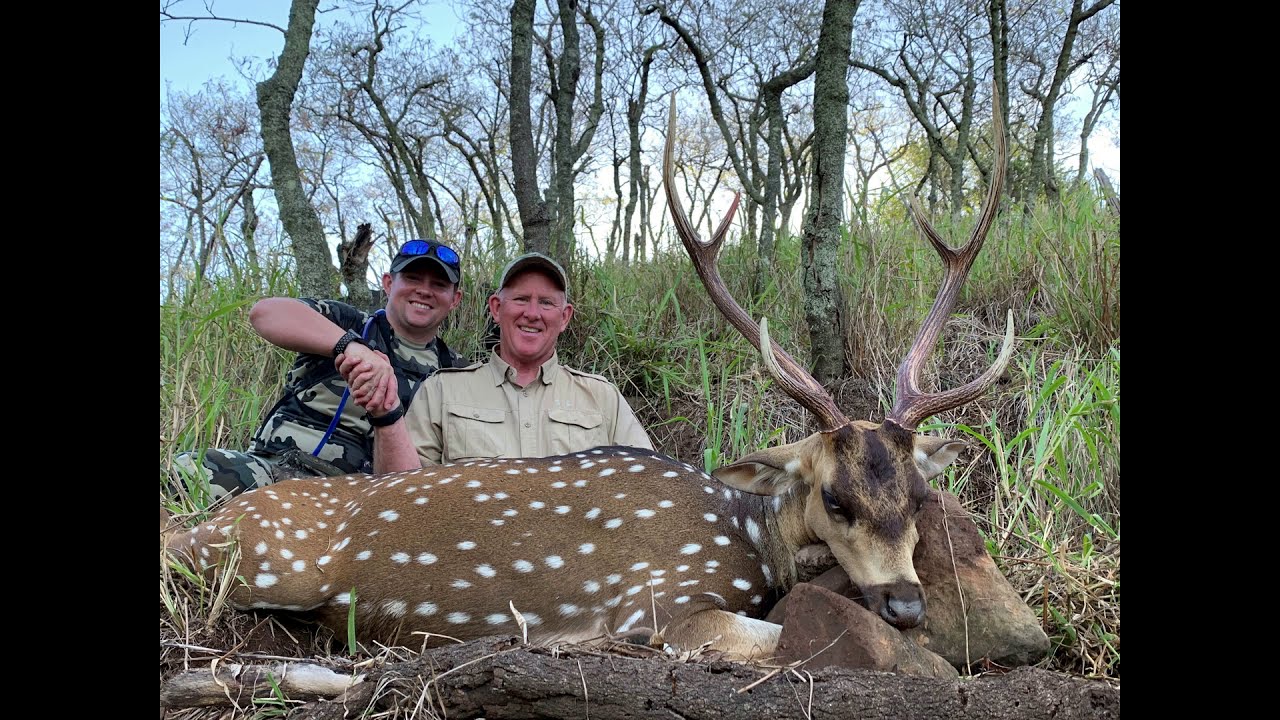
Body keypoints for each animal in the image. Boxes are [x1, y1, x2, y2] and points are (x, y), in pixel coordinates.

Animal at [163, 96, 1013, 662]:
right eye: (836, 499)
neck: (747, 534)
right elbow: (779, 639)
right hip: (264, 552)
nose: (904, 602)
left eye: (920, 495)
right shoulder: (658, 602)